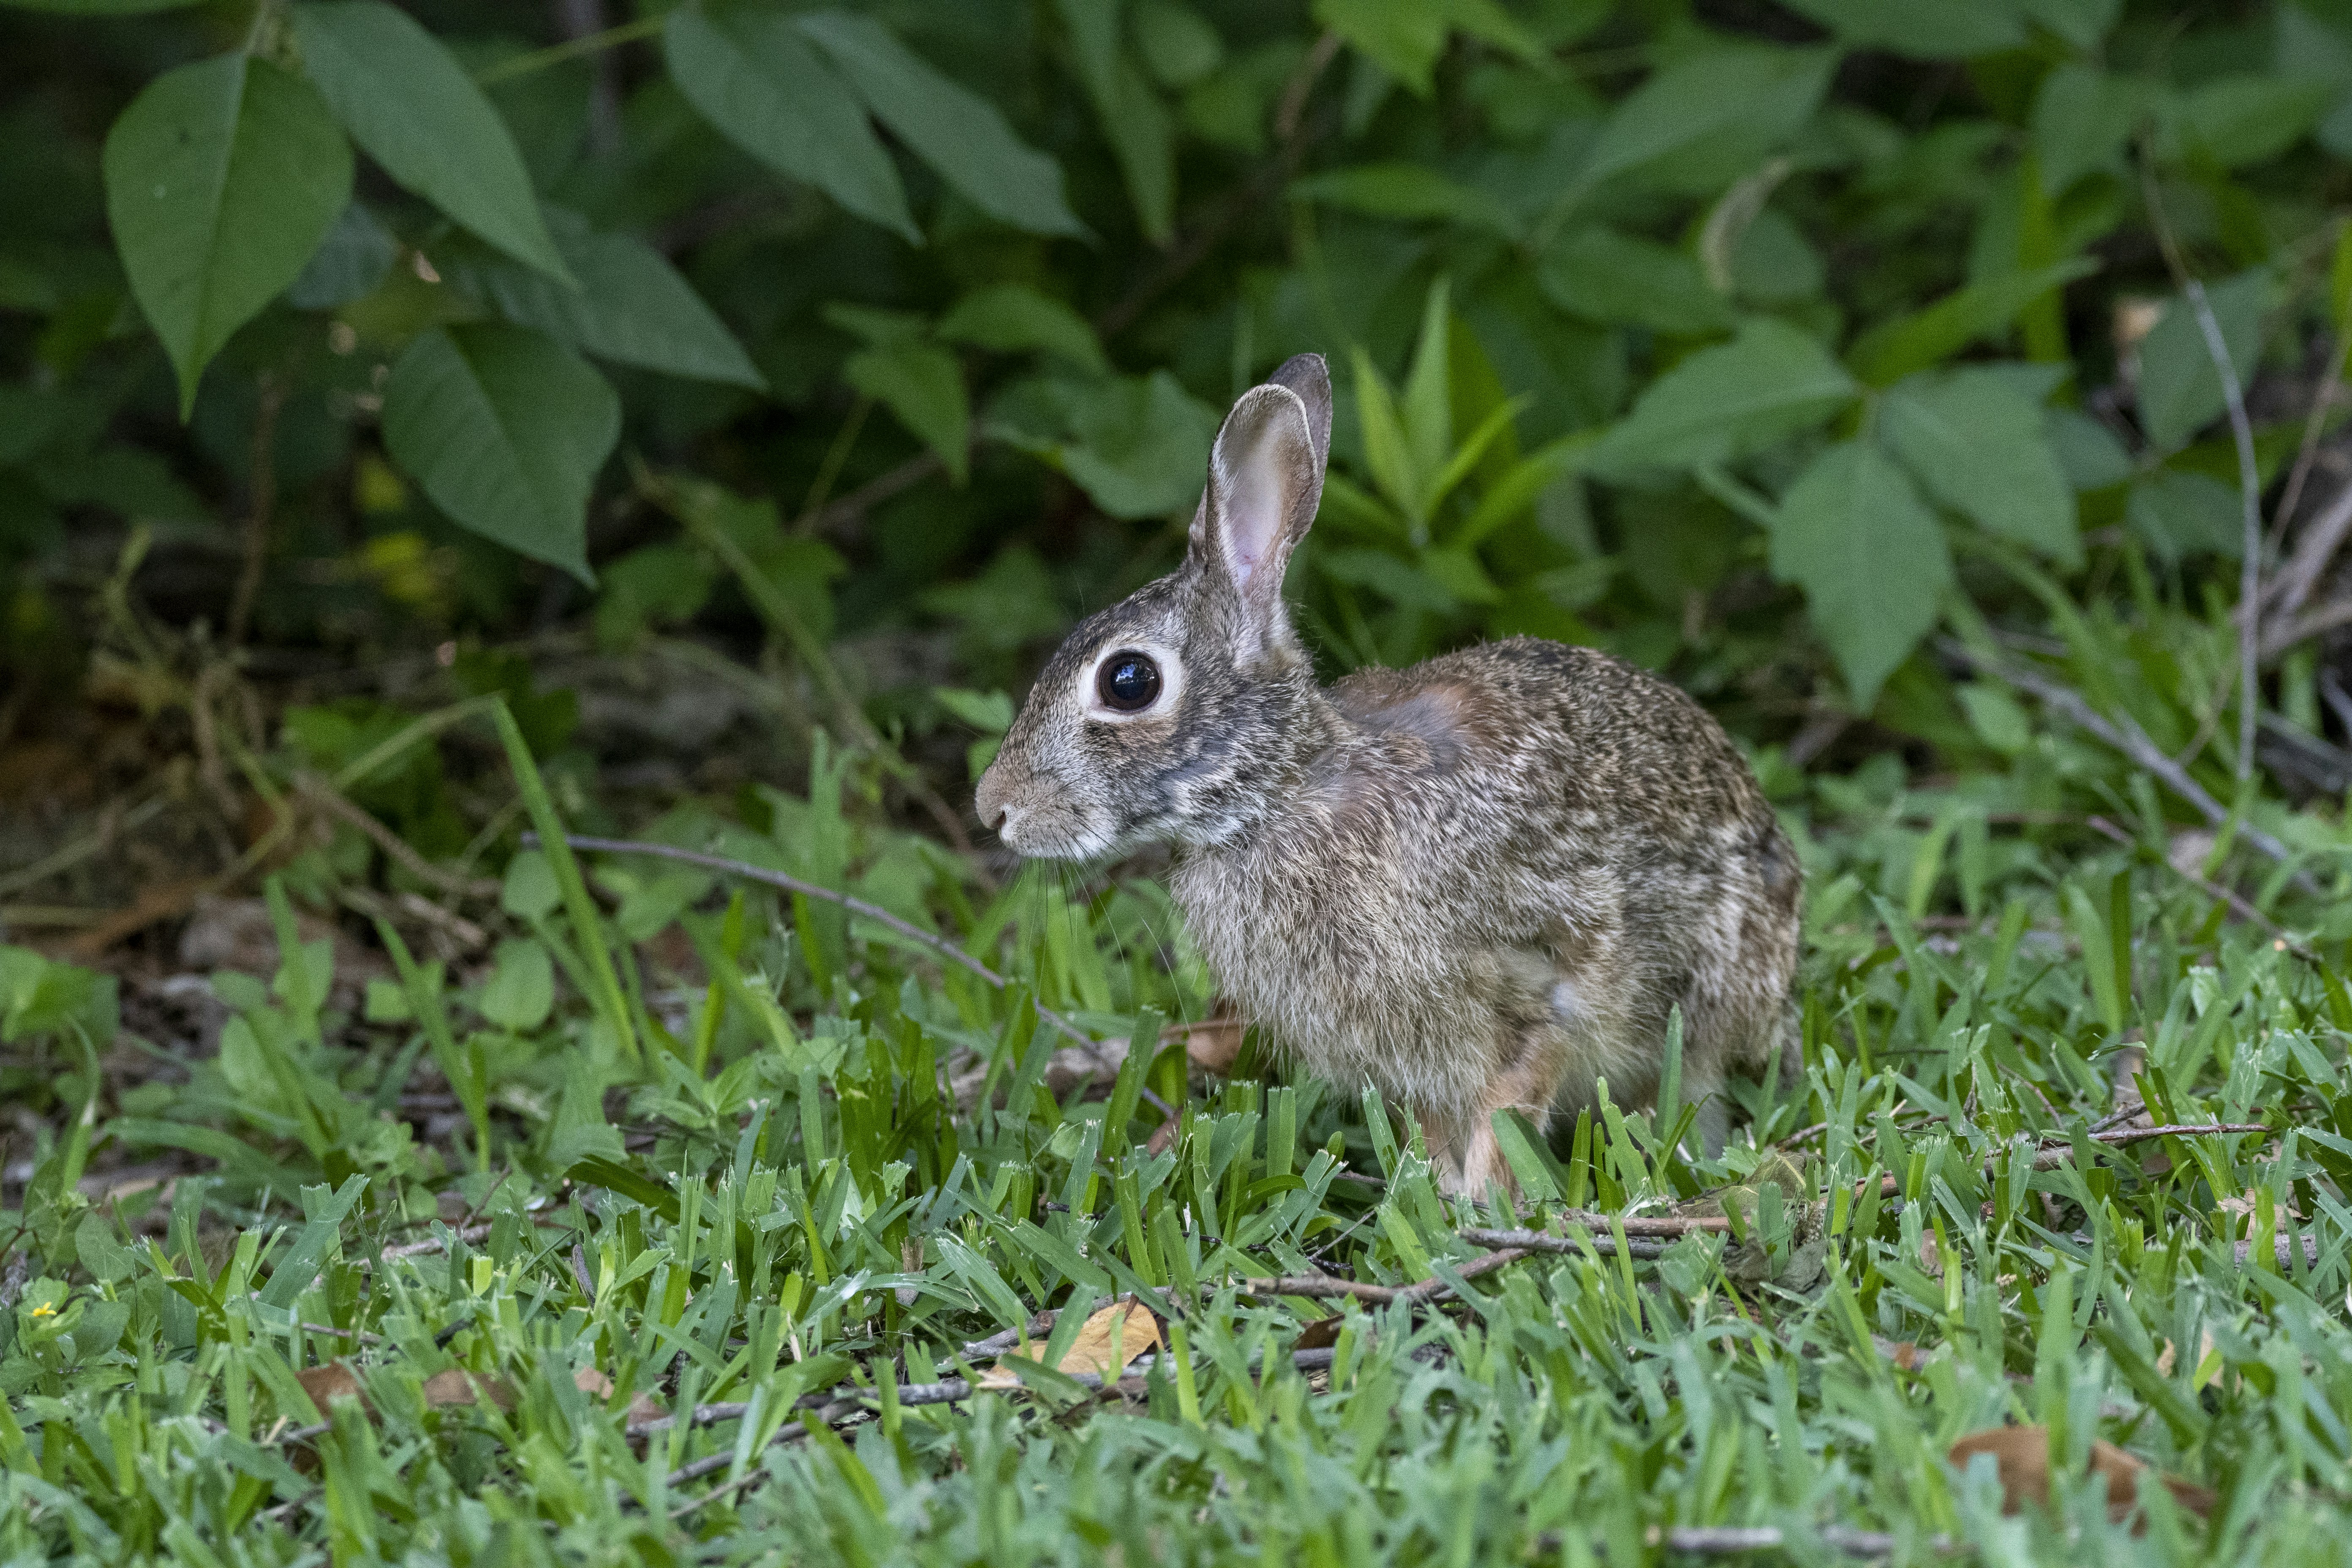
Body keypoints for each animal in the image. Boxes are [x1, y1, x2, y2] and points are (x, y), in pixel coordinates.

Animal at [974, 353, 1802, 1197]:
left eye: (1129, 681)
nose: (992, 808)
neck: (1282, 795)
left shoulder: (1546, 976)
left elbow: (1513, 1098)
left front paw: (1481, 1201)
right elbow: (1434, 1127)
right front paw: (1432, 1192)